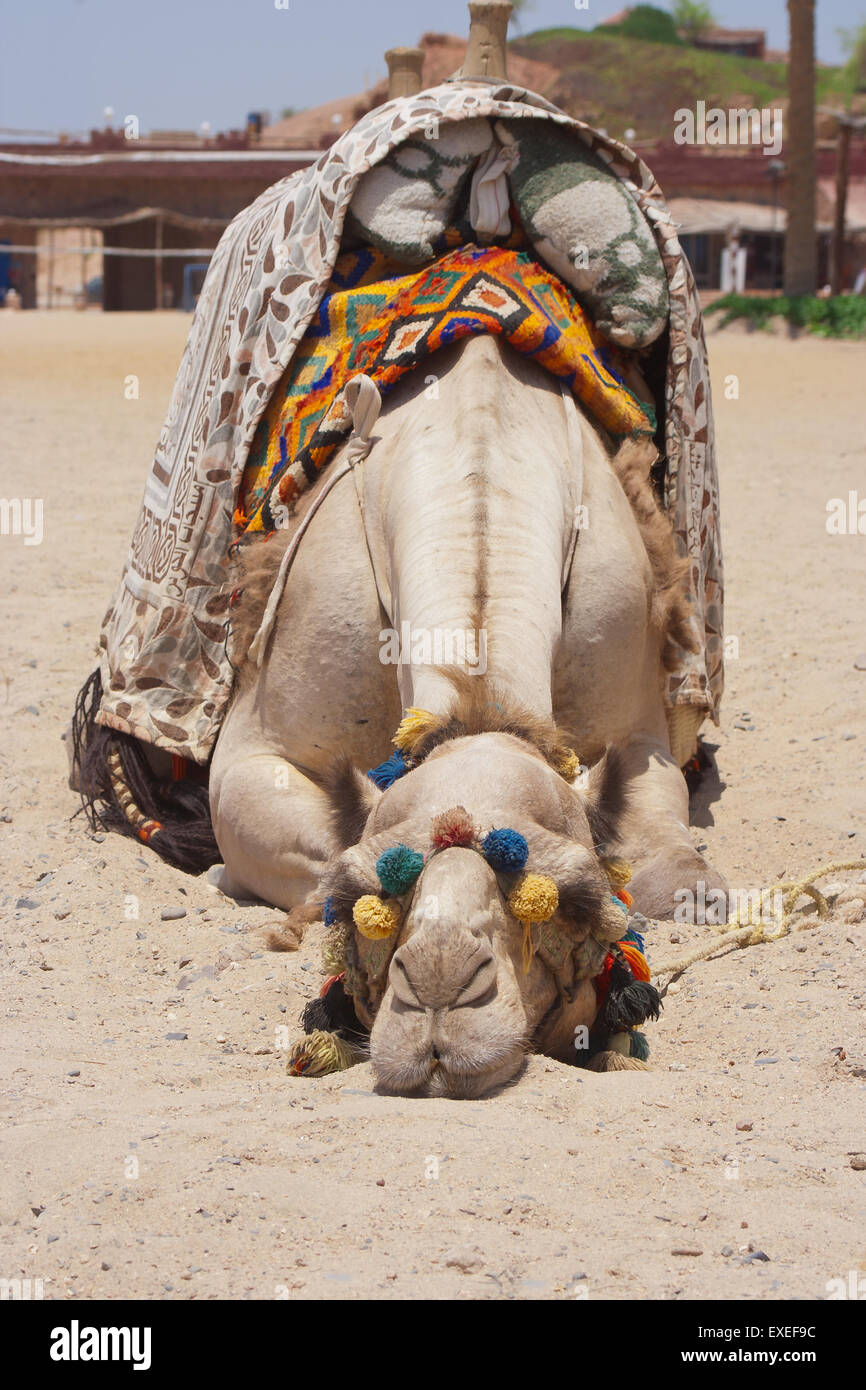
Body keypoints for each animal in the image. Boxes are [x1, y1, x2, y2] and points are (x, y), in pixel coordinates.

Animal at [208, 333, 726, 1096]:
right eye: (366, 892)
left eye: (575, 896)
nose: (440, 981)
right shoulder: (254, 755)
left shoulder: (639, 728)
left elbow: (665, 847)